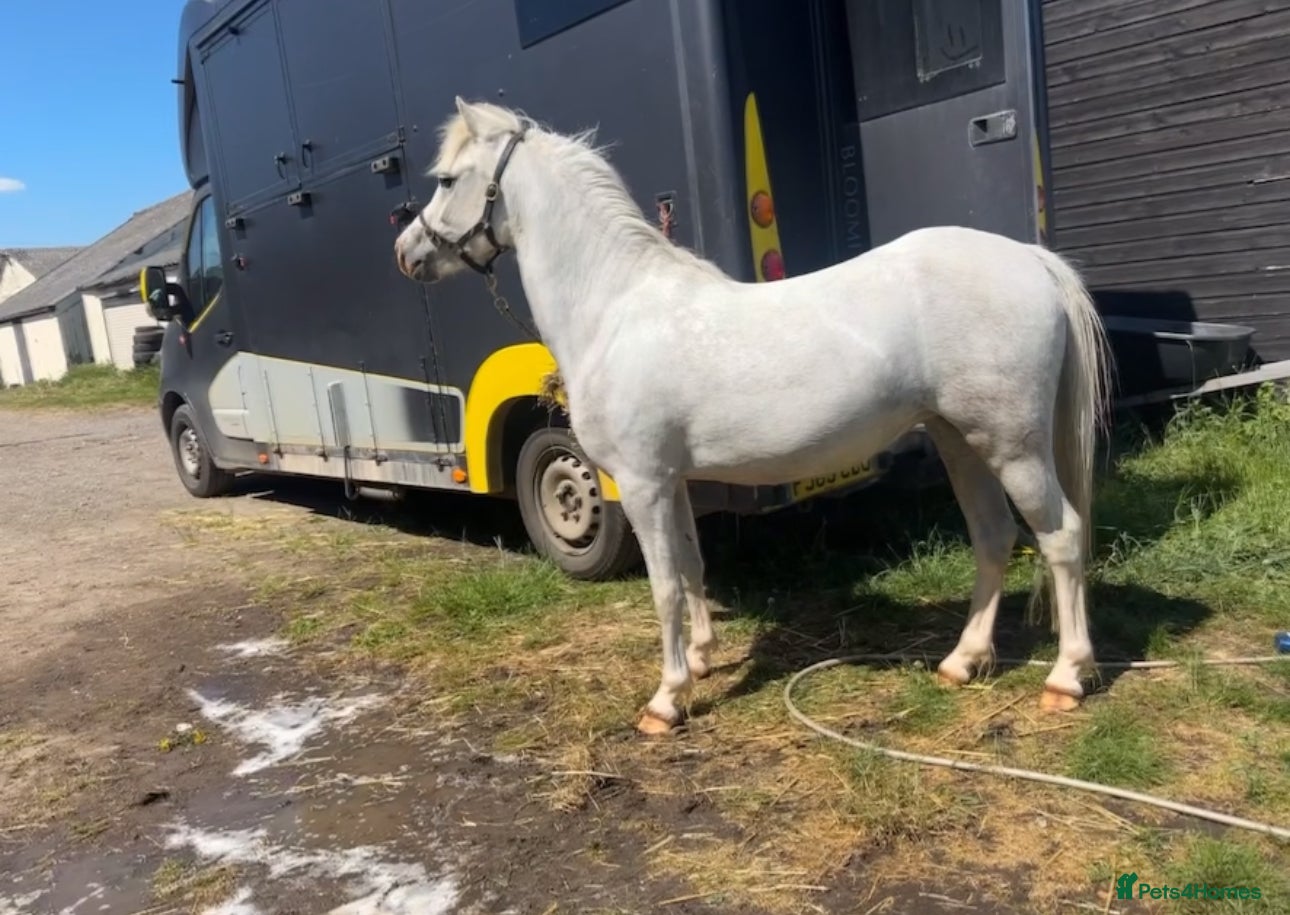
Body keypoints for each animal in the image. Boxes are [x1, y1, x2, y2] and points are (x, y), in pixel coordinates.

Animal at [394, 97, 1113, 736]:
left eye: (447, 179)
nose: (407, 252)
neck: (617, 309)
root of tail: (1029, 259)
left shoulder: (642, 483)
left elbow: (663, 587)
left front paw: (666, 700)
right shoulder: (673, 481)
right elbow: (691, 568)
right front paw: (701, 662)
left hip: (1014, 447)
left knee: (1060, 537)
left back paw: (1066, 677)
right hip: (960, 441)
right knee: (993, 536)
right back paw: (961, 662)